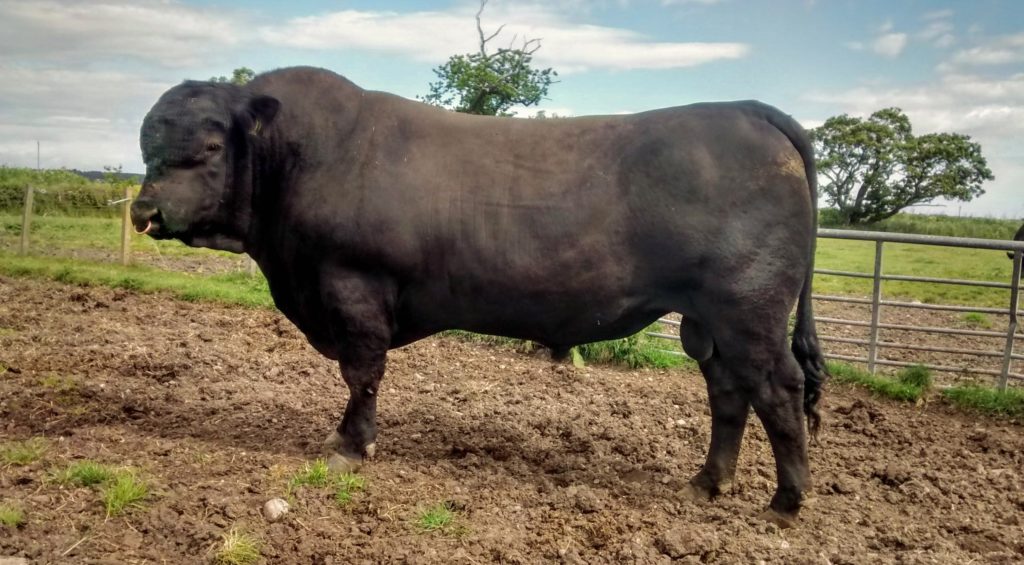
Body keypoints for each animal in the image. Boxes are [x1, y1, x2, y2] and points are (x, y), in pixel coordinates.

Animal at [132, 66, 827, 527]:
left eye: (212, 146)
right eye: (148, 147)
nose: (145, 211)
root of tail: (746, 108)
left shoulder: (353, 286)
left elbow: (362, 374)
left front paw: (351, 447)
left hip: (749, 311)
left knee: (779, 391)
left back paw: (787, 503)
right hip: (710, 322)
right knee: (729, 394)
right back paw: (707, 483)